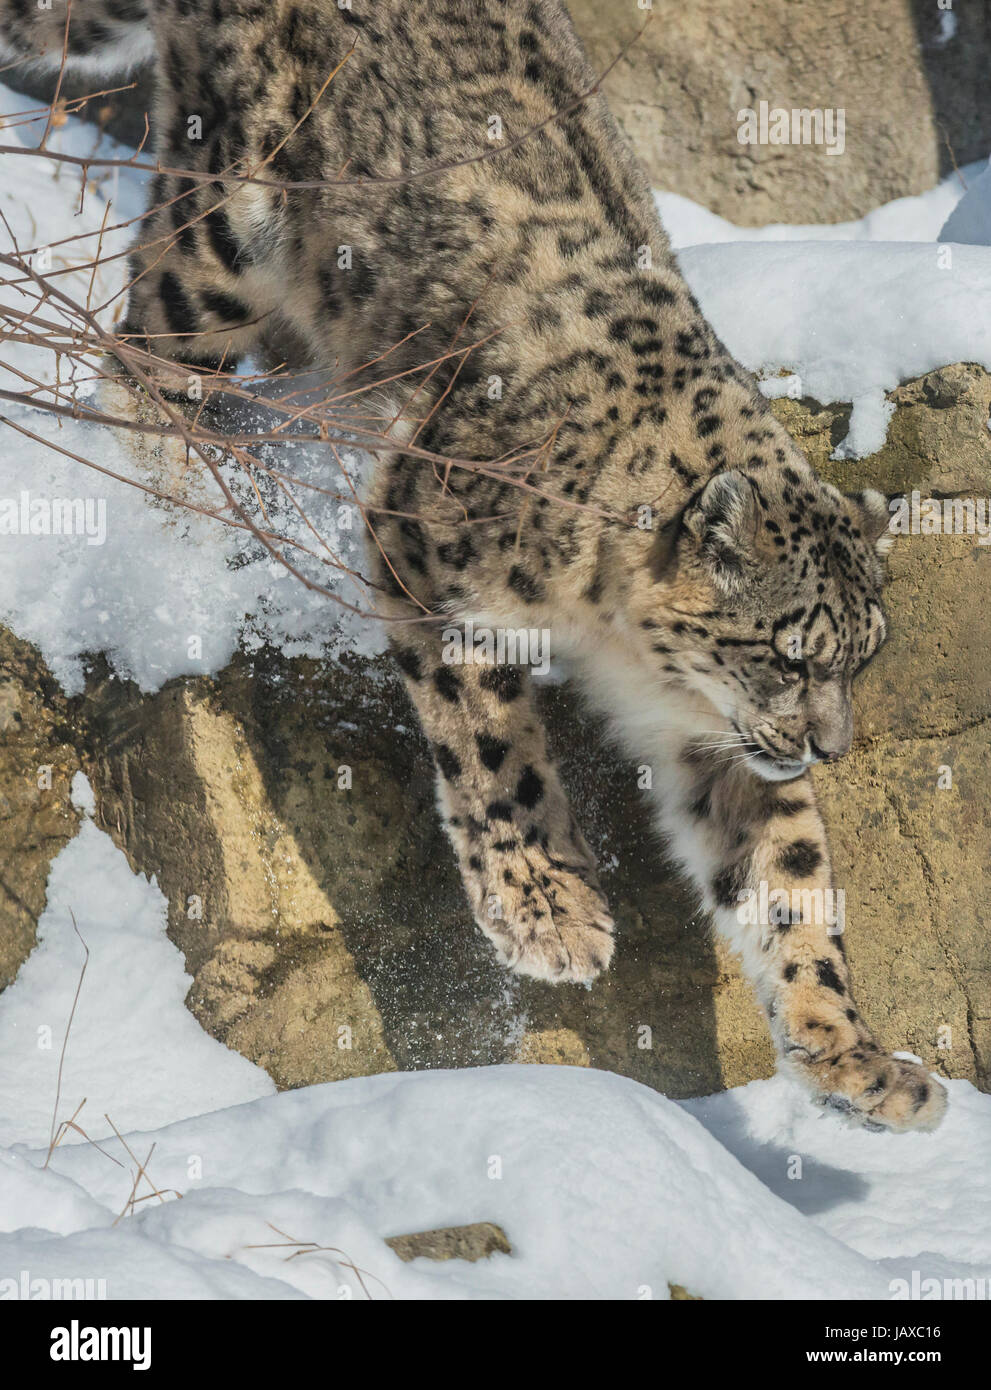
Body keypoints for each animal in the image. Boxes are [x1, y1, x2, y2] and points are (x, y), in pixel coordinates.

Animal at [0, 0, 947, 1132]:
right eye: (789, 651)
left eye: (861, 657)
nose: (829, 748)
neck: (621, 640)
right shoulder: (430, 542)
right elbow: (493, 746)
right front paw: (548, 911)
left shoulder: (712, 733)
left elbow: (788, 875)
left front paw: (854, 1057)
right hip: (229, 208)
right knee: (147, 334)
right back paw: (176, 485)